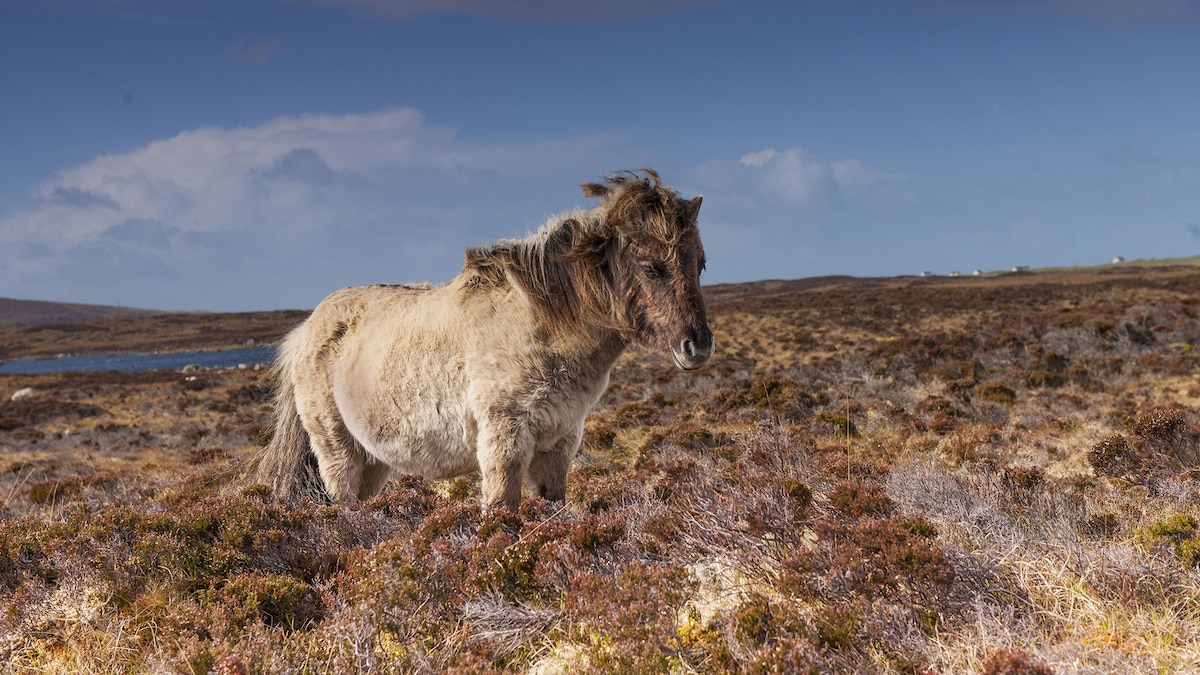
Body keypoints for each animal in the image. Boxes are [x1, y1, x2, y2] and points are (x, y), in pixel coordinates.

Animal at [253, 169, 713, 512]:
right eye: (651, 267)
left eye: (700, 265)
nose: (698, 346)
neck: (543, 324)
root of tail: (306, 330)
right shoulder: (504, 438)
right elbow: (502, 508)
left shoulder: (559, 443)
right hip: (338, 451)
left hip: (373, 460)